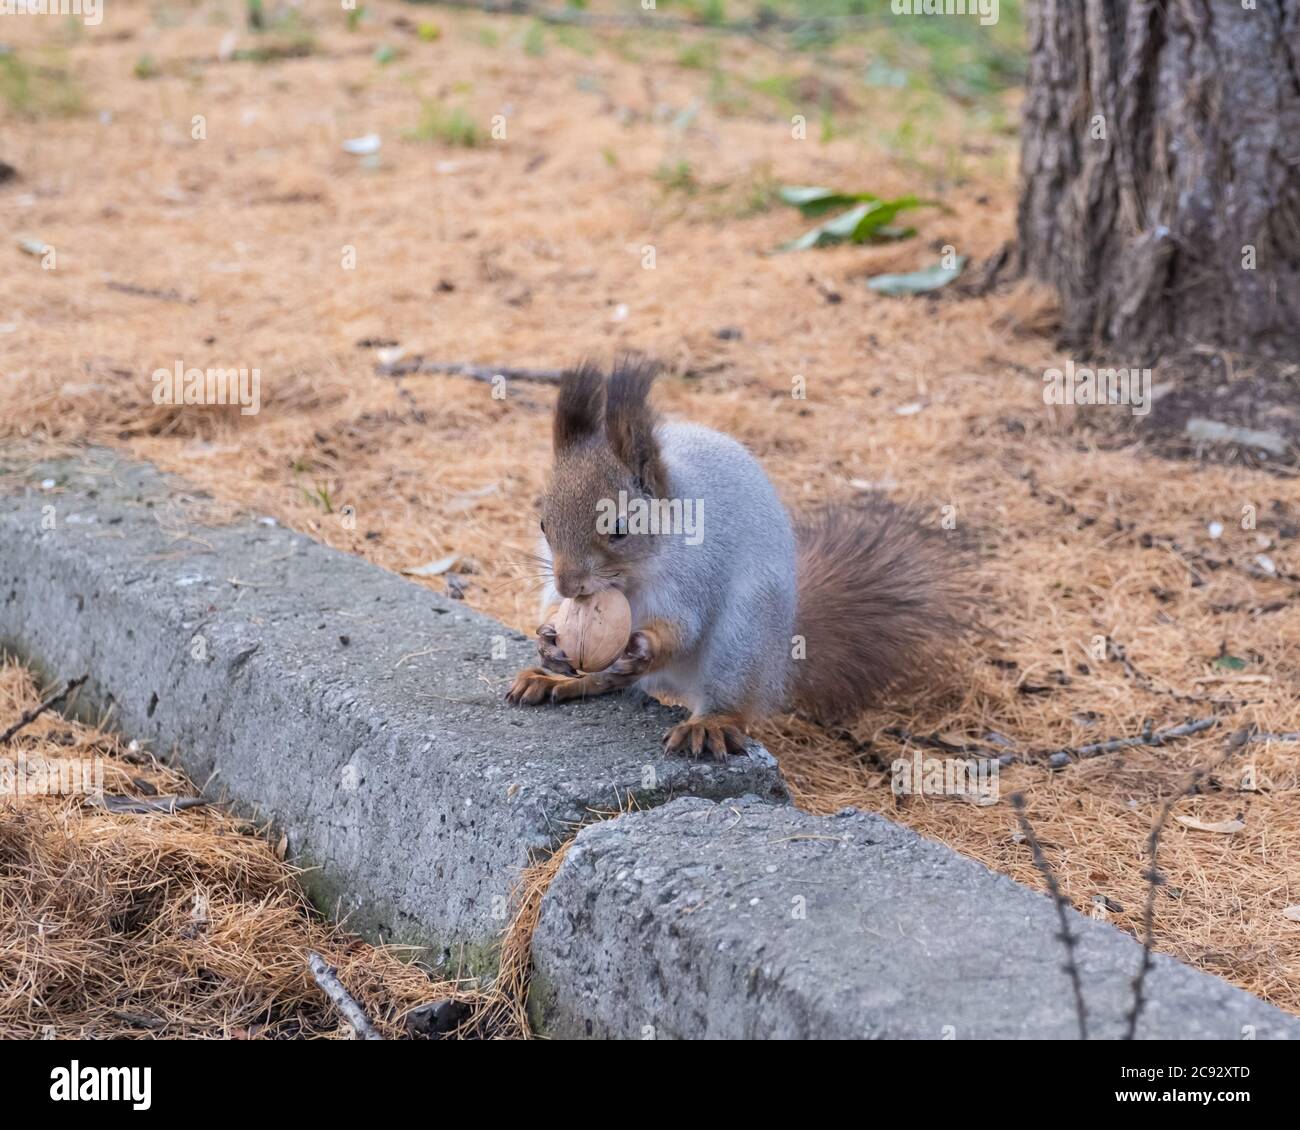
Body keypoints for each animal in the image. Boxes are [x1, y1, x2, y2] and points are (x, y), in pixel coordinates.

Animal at [506, 359, 968, 758]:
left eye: (619, 529)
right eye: (543, 523)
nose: (569, 585)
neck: (629, 581)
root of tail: (781, 658)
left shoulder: (697, 575)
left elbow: (682, 629)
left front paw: (641, 644)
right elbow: (552, 609)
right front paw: (548, 638)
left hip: (743, 636)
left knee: (732, 700)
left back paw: (708, 724)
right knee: (610, 681)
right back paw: (557, 680)